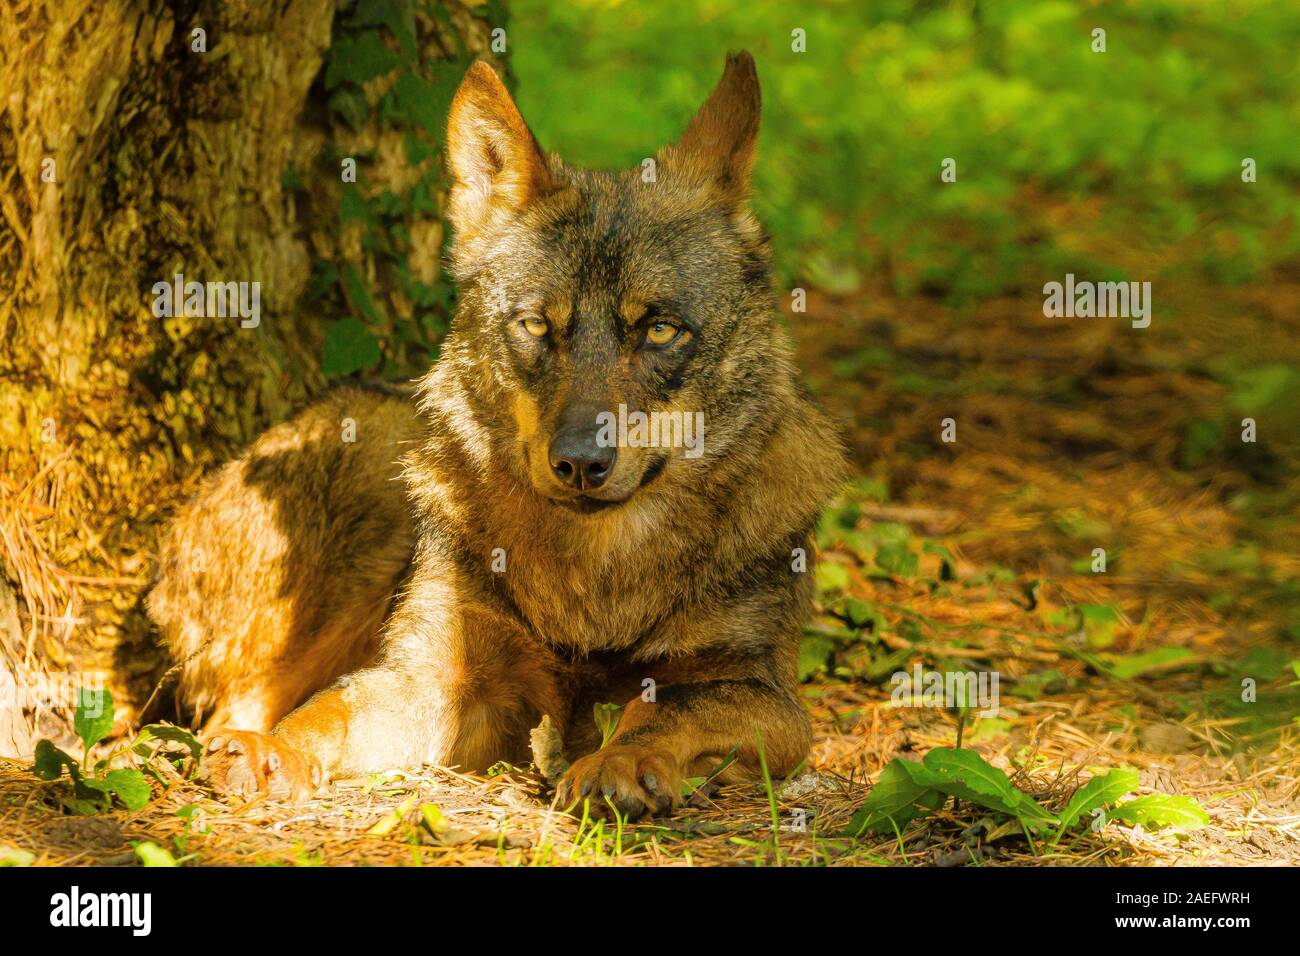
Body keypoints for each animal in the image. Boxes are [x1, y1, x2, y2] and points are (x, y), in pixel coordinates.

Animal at [146, 52, 847, 818]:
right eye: (537, 325)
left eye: (660, 330)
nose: (580, 463)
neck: (594, 581)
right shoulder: (443, 682)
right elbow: (332, 708)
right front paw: (278, 752)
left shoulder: (770, 697)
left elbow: (663, 705)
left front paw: (619, 763)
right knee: (233, 709)